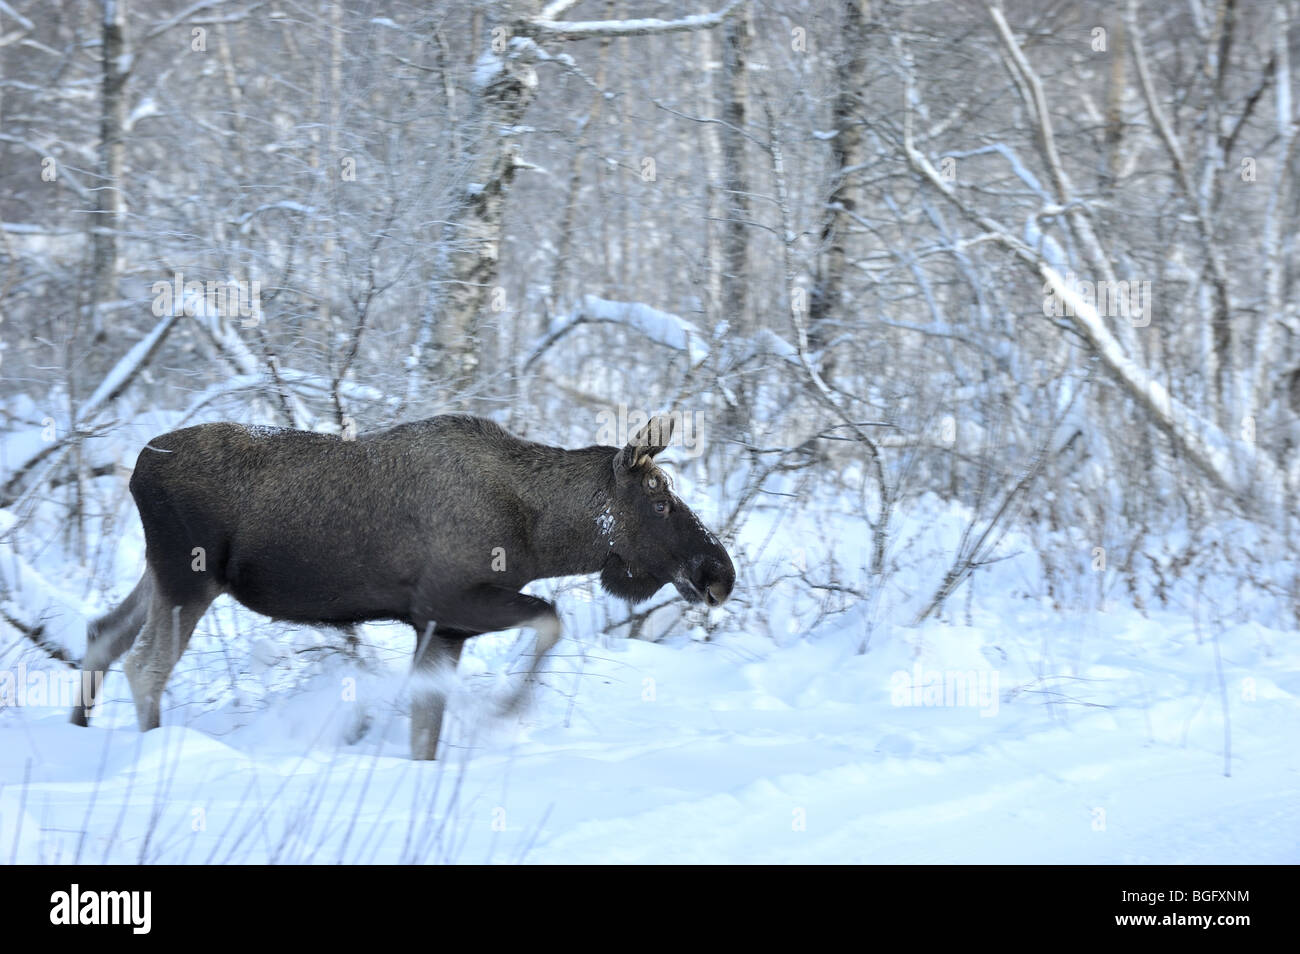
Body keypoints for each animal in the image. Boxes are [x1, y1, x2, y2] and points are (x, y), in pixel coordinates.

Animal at [69, 413, 735, 759]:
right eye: (659, 499)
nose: (720, 574)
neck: (540, 535)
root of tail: (136, 467)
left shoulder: (442, 627)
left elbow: (425, 728)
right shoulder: (446, 601)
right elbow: (551, 618)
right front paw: (504, 711)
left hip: (163, 573)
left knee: (102, 633)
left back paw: (77, 730)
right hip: (190, 577)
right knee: (144, 667)